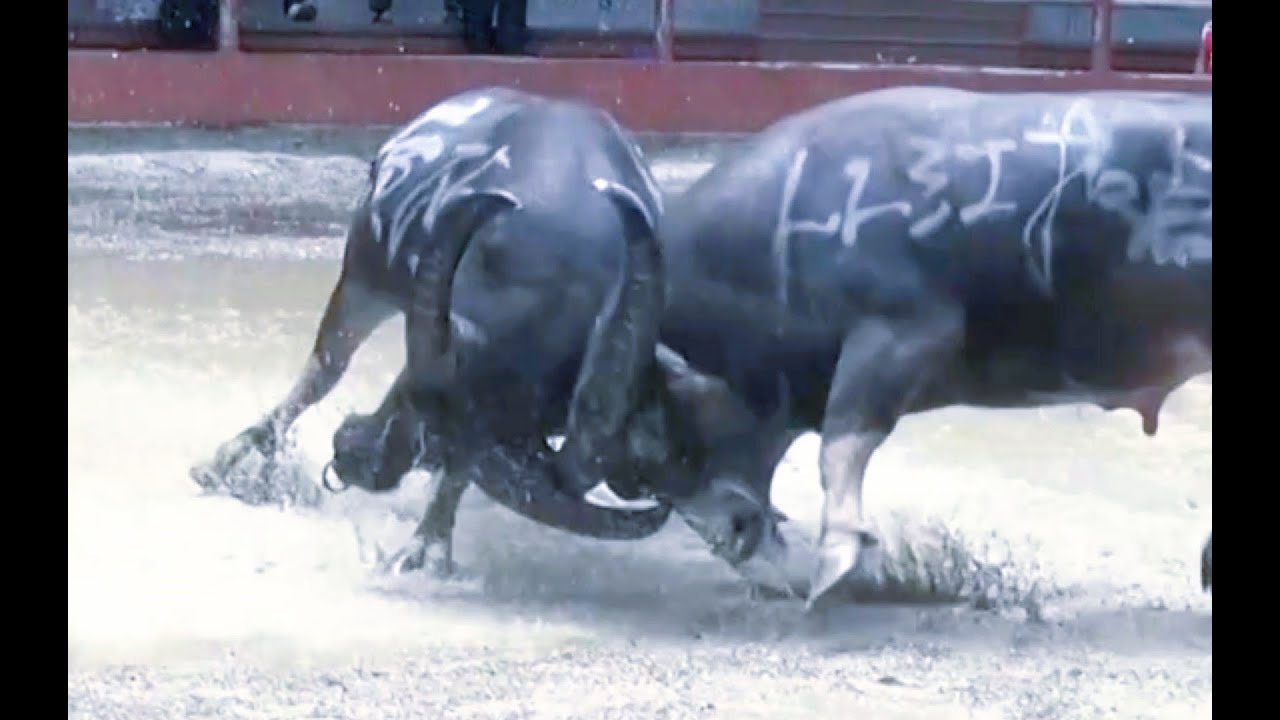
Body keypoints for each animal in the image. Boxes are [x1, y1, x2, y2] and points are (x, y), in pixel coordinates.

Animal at [189, 87, 683, 573]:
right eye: (409, 394)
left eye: (440, 443)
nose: (360, 461)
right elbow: (321, 375)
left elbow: (457, 479)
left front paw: (429, 544)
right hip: (363, 280)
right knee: (325, 368)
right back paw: (233, 459)